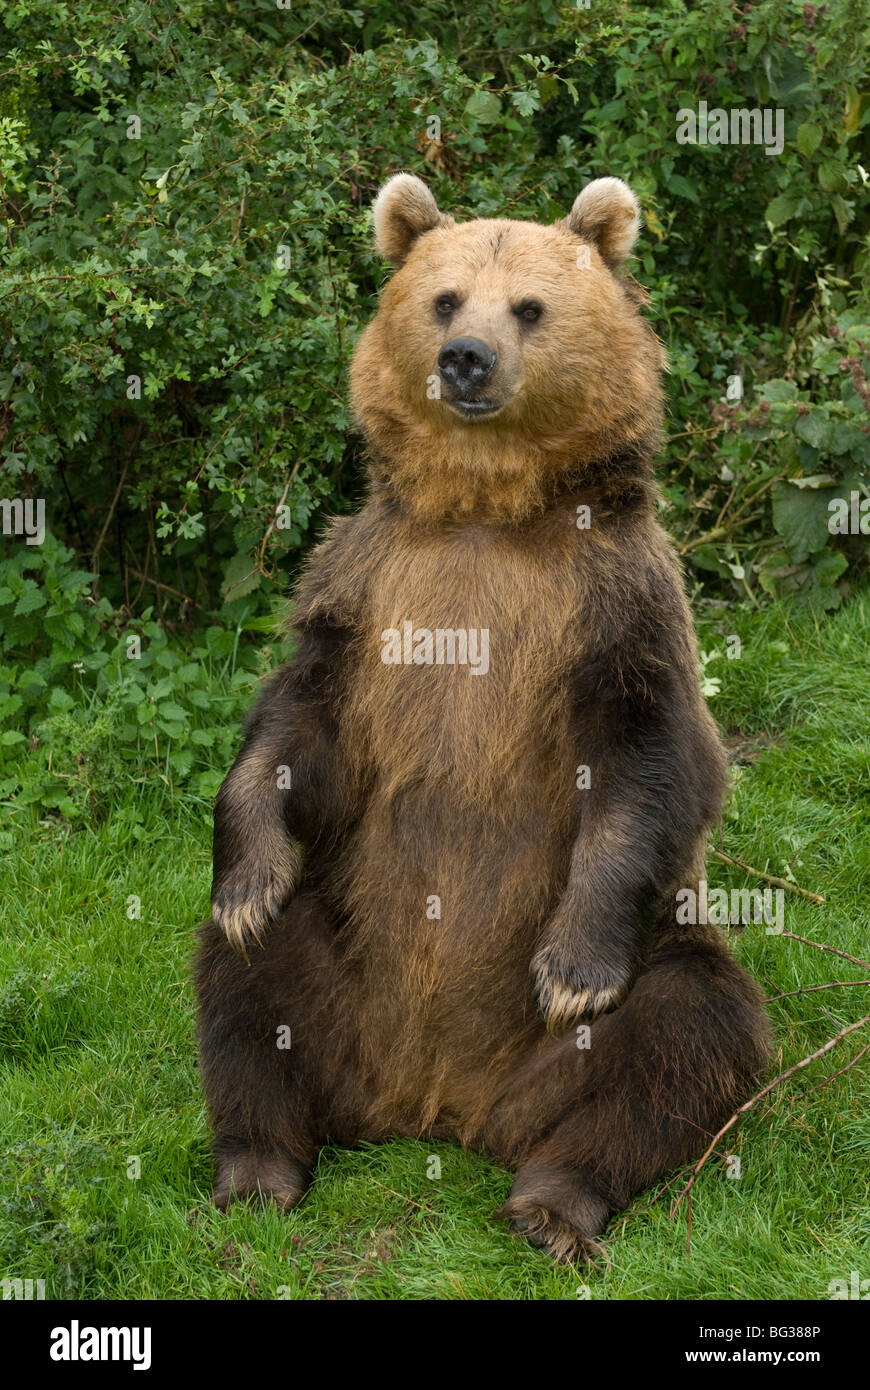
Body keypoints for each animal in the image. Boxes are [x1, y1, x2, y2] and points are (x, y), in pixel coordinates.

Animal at [195, 173, 771, 1263]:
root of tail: (436, 1106)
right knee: (247, 979)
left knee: (690, 1027)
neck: (485, 509)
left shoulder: (614, 607)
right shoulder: (366, 592)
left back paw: (554, 1202)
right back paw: (257, 1166)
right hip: (342, 964)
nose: (466, 358)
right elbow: (300, 731)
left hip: (594, 1024)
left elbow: (651, 763)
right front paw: (250, 869)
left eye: (531, 307)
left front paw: (573, 968)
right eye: (446, 298)